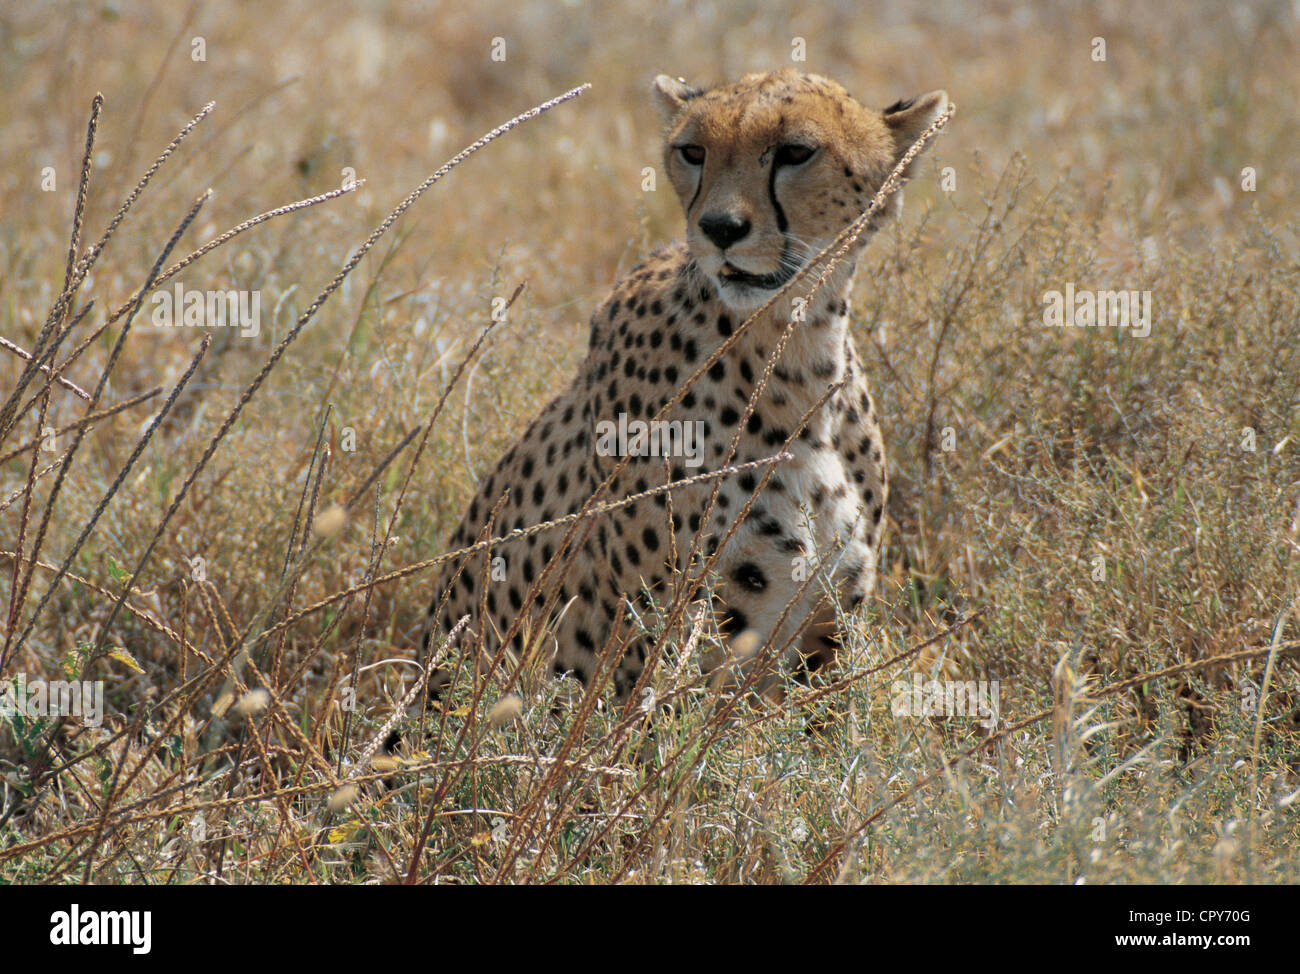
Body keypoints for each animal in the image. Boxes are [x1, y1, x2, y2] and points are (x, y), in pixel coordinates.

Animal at [420, 68, 950, 702]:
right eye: (693, 152)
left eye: (797, 152)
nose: (719, 228)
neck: (795, 352)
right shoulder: (659, 637)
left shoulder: (828, 631)